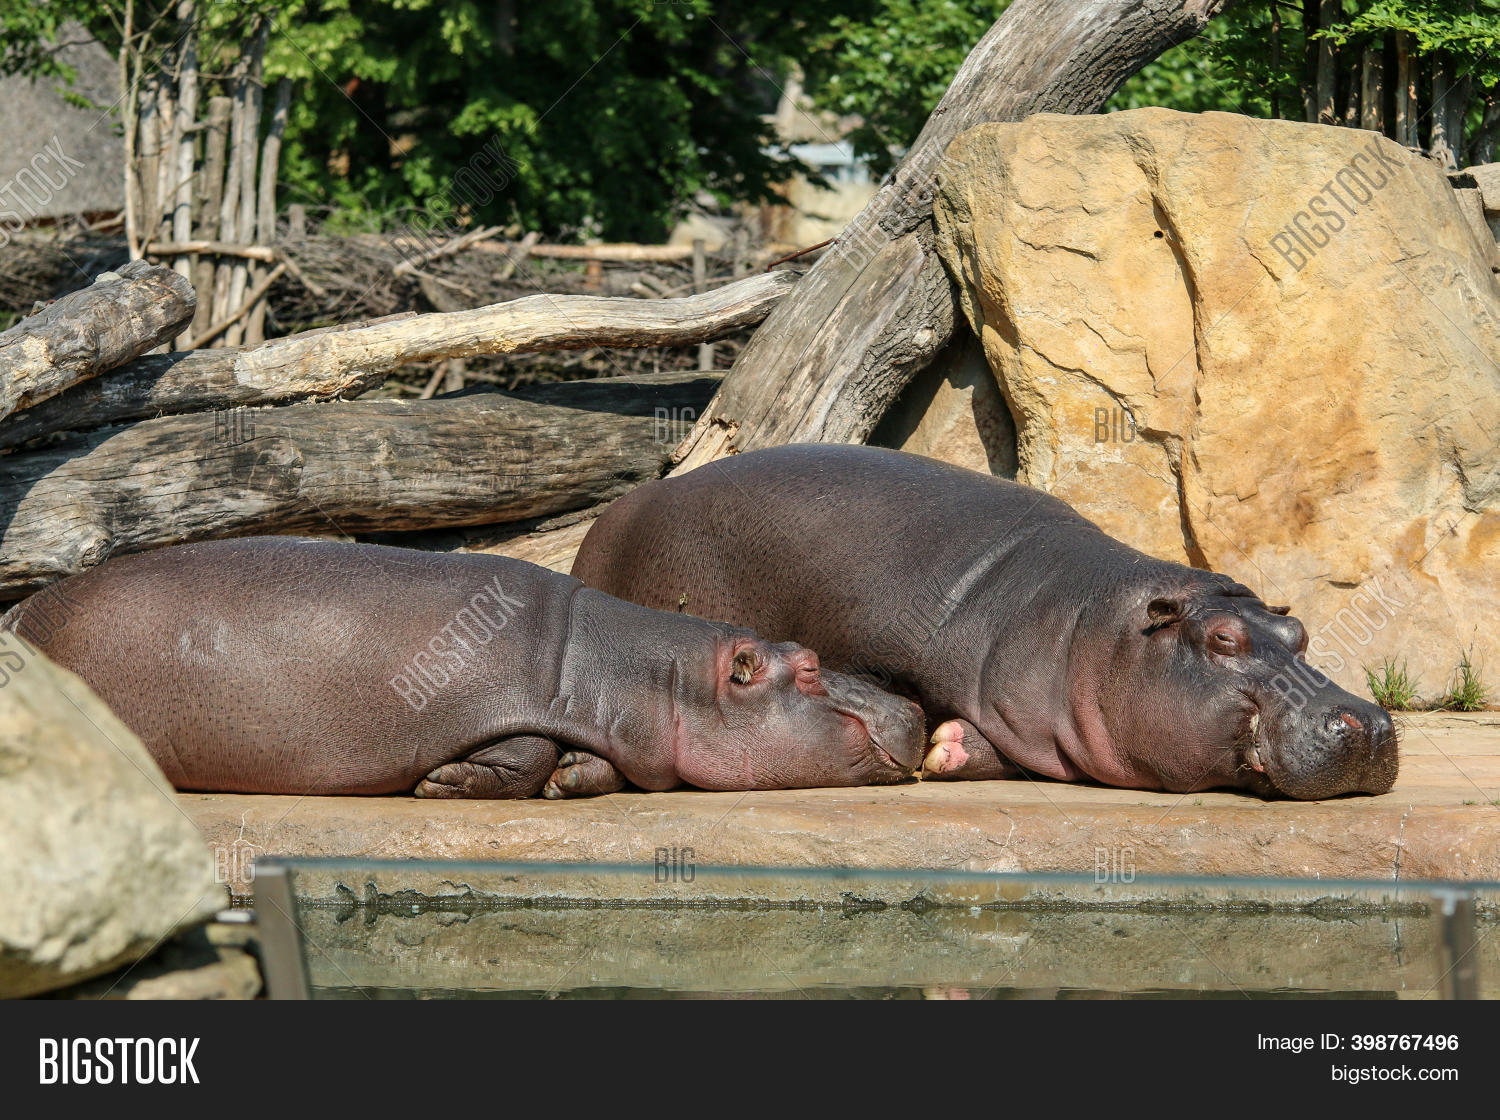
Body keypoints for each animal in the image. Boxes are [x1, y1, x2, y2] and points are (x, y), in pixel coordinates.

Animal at [0, 537, 925, 798]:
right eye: (807, 667)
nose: (915, 709)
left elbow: (580, 761)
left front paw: (575, 779)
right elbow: (526, 749)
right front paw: (444, 783)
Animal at [572, 445, 1399, 800]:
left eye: (1300, 635)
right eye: (1224, 640)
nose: (1366, 721)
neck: (1088, 628)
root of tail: (615, 511)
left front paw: (953, 748)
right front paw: (937, 747)